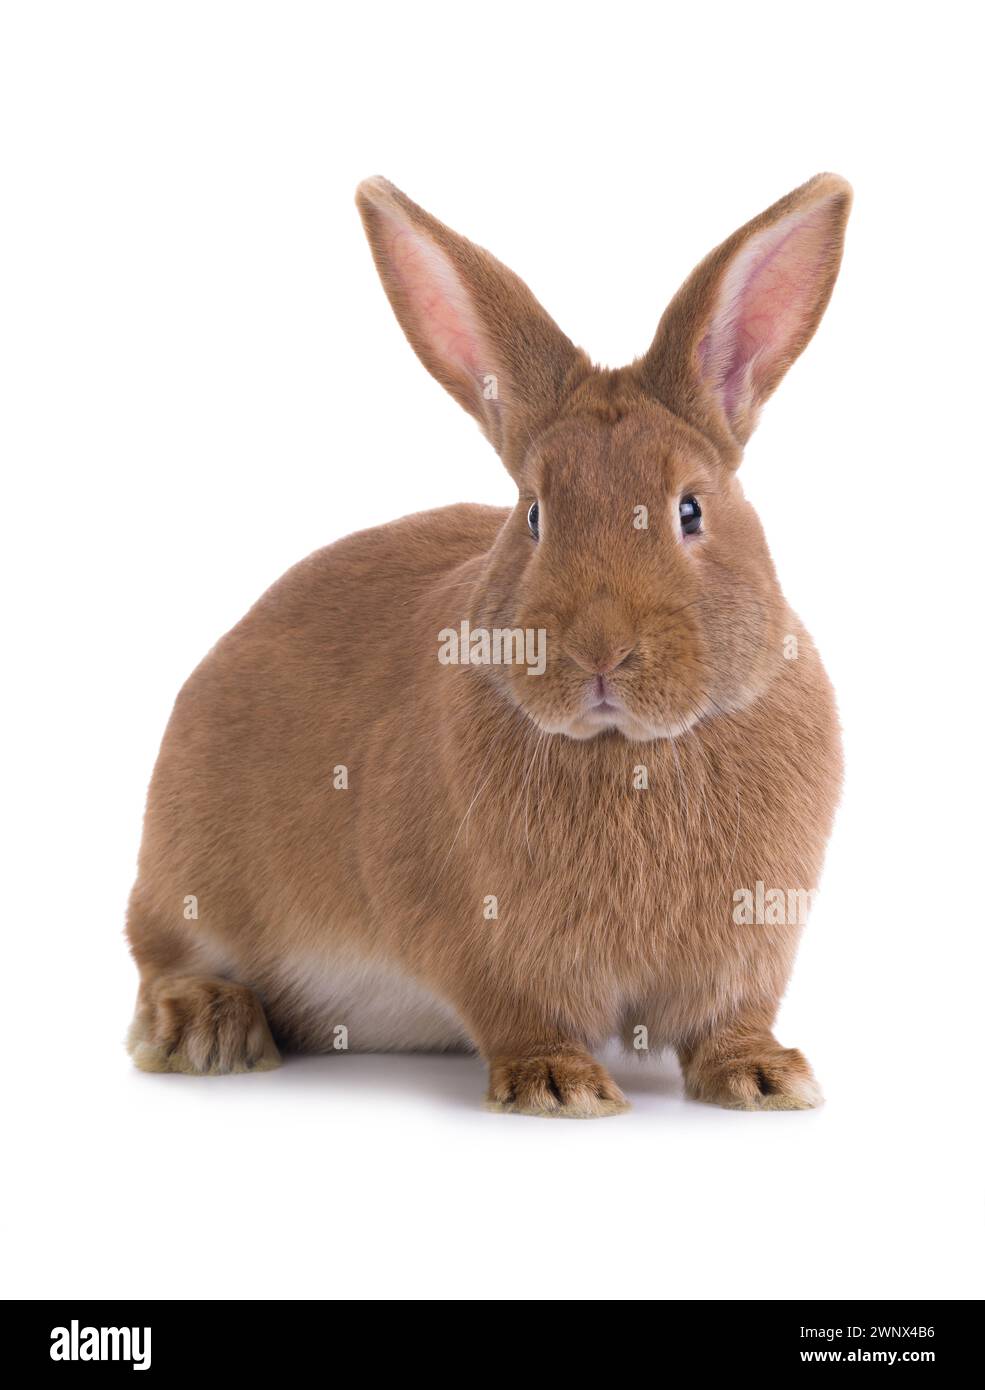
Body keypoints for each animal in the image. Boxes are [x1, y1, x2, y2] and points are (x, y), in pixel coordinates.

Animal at [126, 172, 851, 1117]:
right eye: (533, 515)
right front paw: (558, 1087)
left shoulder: (745, 950)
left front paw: (765, 1077)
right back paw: (208, 1029)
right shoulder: (481, 945)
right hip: (189, 872)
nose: (599, 653)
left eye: (690, 509)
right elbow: (519, 1015)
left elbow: (729, 1019)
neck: (628, 749)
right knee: (157, 957)